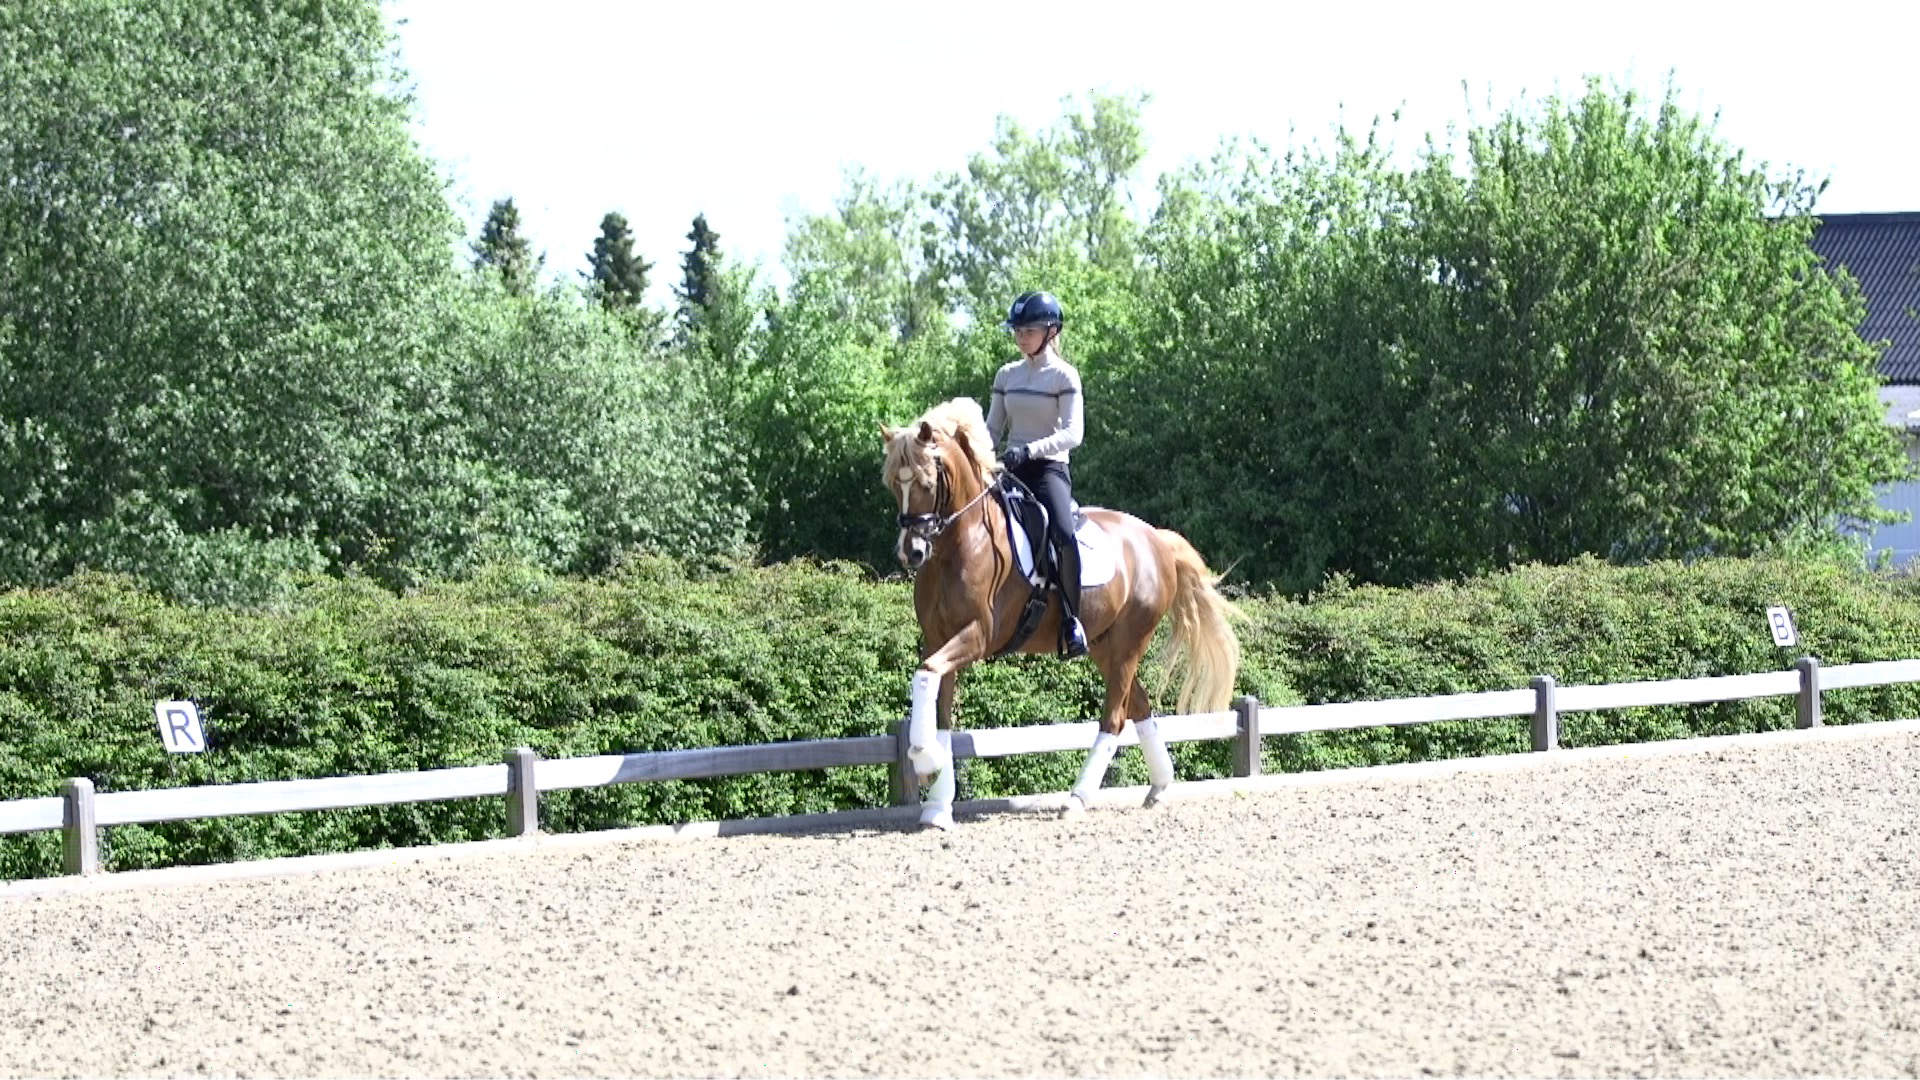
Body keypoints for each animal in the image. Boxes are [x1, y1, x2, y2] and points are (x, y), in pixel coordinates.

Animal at [880, 397, 1241, 829]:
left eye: (927, 483)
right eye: (892, 485)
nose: (911, 553)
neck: (961, 543)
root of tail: (1156, 539)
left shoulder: (978, 635)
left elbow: (926, 675)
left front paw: (922, 758)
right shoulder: (938, 638)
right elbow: (939, 705)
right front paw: (937, 803)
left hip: (1129, 642)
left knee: (1114, 717)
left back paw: (1077, 798)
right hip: (1105, 645)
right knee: (1138, 705)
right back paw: (1159, 787)